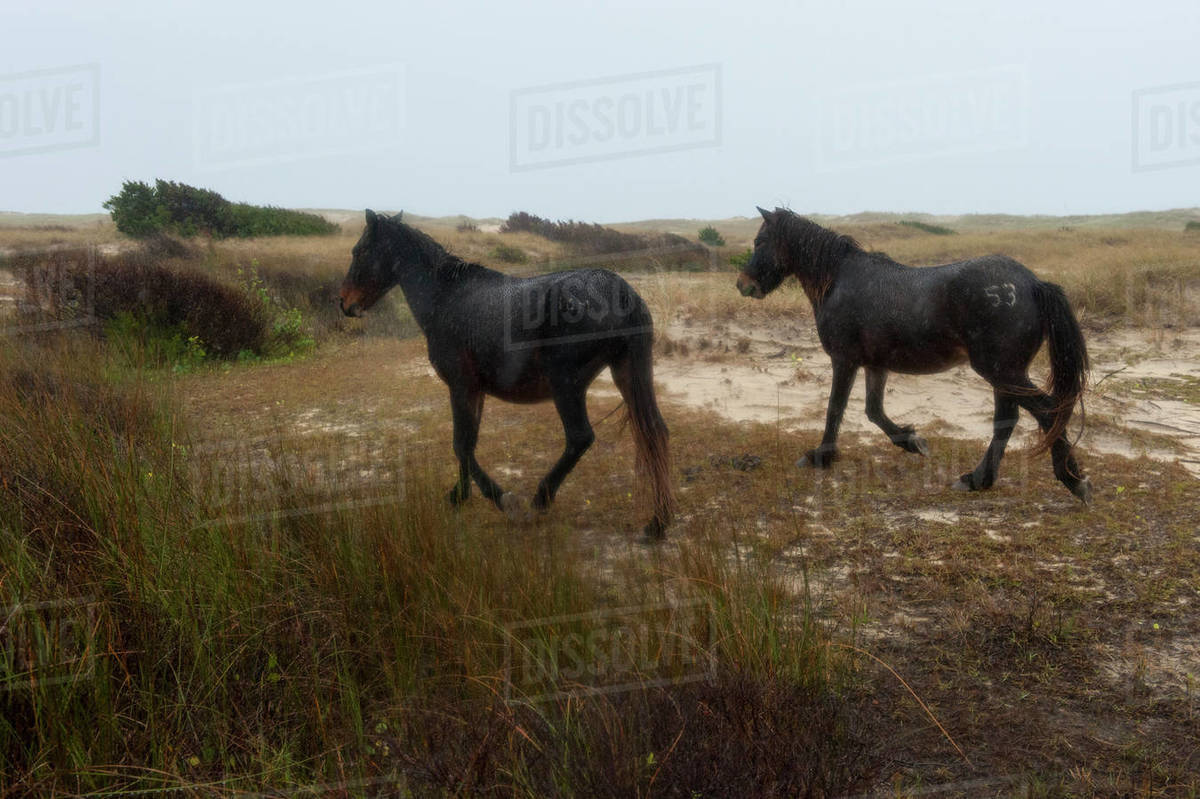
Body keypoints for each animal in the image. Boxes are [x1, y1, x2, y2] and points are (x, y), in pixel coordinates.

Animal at [339, 210, 675, 539]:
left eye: (360, 251)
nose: (344, 303)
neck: (447, 298)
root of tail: (622, 294)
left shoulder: (460, 386)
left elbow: (461, 444)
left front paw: (502, 499)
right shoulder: (475, 390)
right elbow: (468, 443)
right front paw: (459, 495)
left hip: (566, 384)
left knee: (580, 438)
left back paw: (540, 500)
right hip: (628, 373)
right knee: (654, 431)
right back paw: (658, 522)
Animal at [736, 207, 1091, 503]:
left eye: (759, 241)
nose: (743, 284)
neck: (838, 280)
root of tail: (1034, 284)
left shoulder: (844, 360)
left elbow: (835, 409)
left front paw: (820, 455)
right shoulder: (875, 365)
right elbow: (873, 411)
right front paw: (911, 441)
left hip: (1002, 371)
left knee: (1045, 413)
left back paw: (1072, 481)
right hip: (1004, 373)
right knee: (1008, 420)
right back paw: (980, 479)